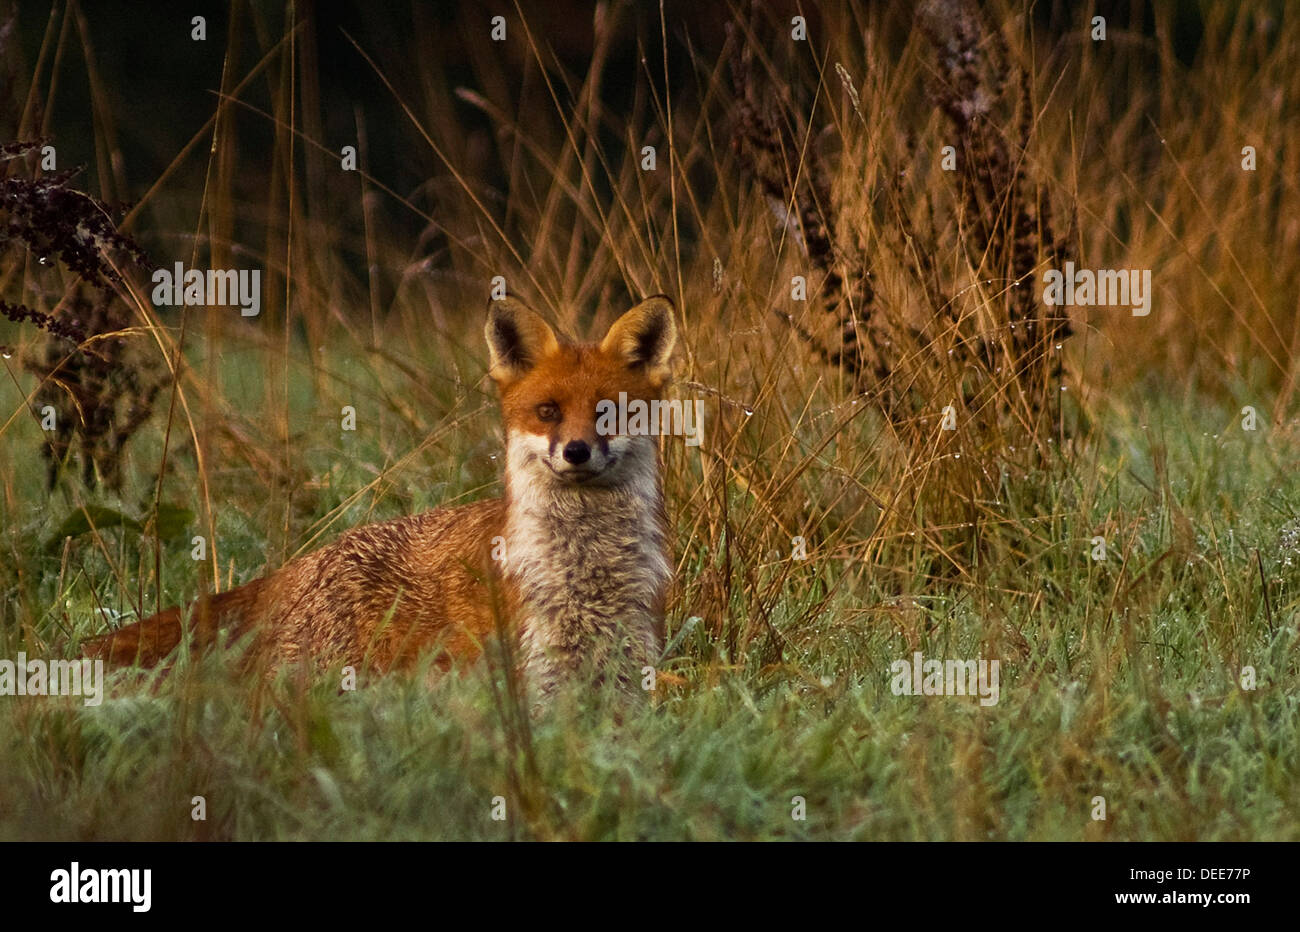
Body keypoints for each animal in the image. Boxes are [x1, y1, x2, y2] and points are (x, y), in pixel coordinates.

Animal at [81, 295, 678, 698]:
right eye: (548, 411)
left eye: (609, 412)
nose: (576, 451)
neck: (584, 575)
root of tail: (294, 567)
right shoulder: (532, 668)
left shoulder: (624, 666)